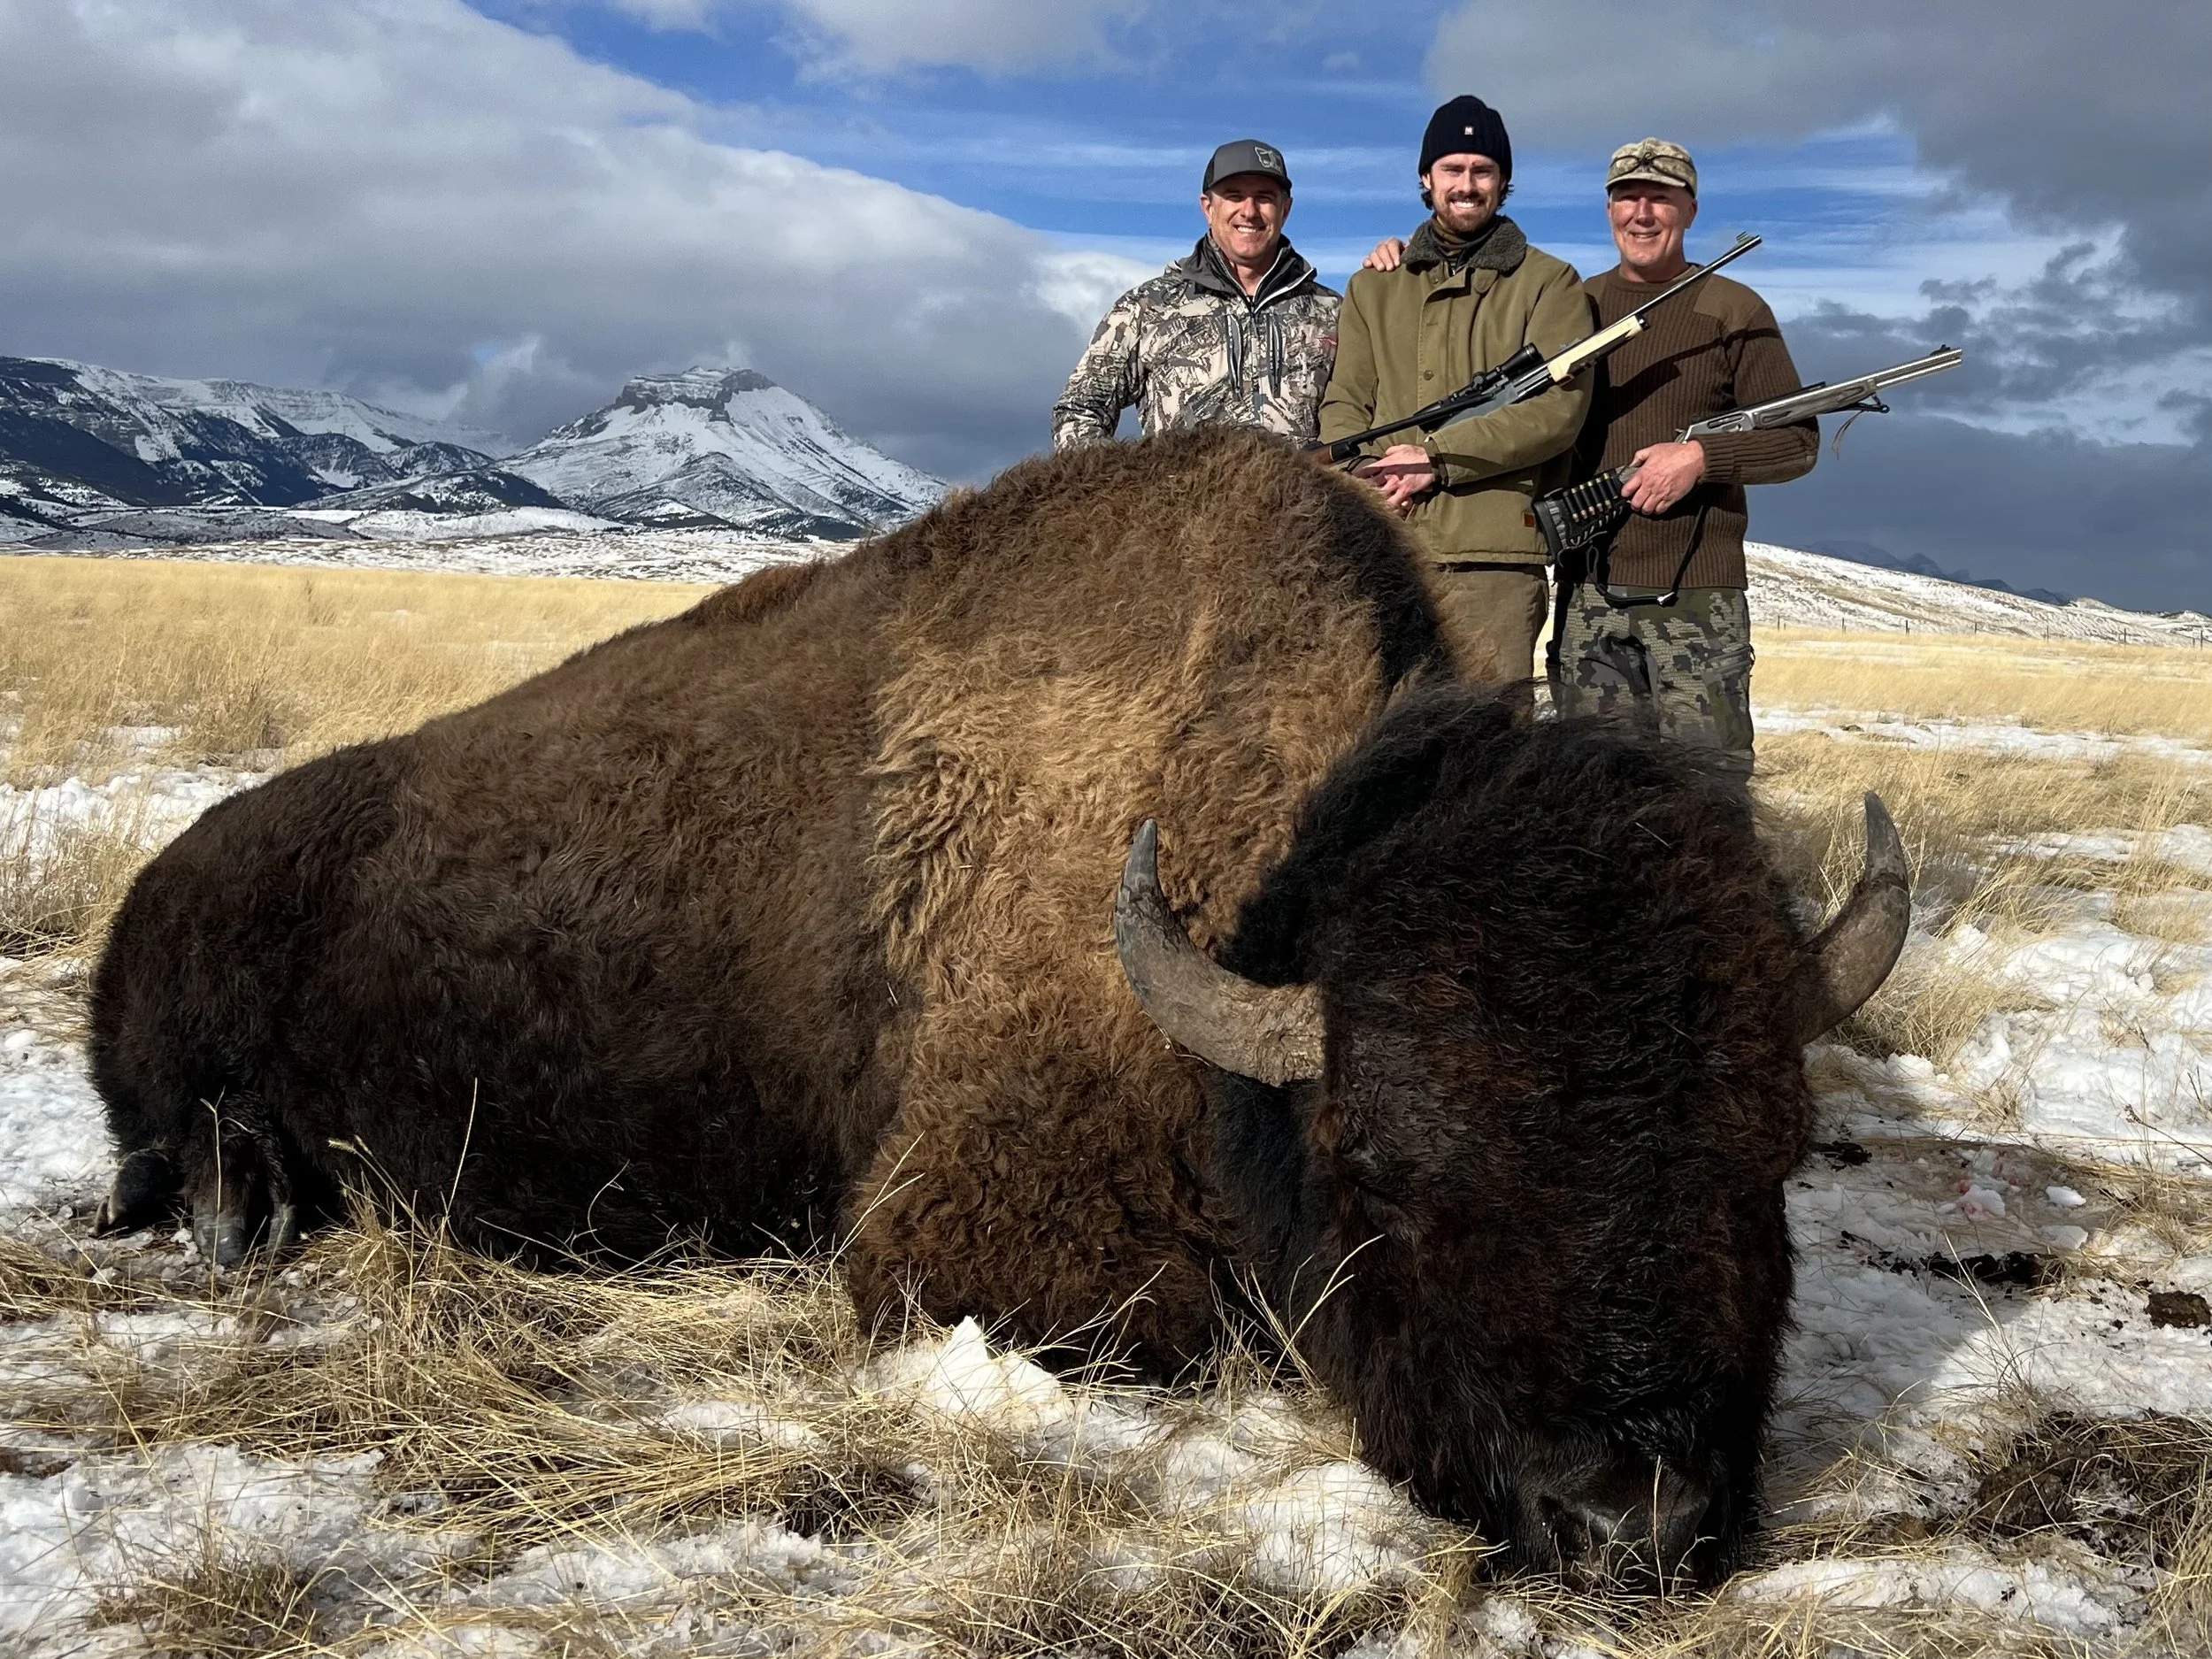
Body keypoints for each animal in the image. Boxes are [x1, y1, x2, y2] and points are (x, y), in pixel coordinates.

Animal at [89, 428, 1907, 1585]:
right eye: (1391, 1168)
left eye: (1770, 1152)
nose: (1633, 1526)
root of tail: (159, 884)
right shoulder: (969, 1243)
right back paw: (239, 1218)